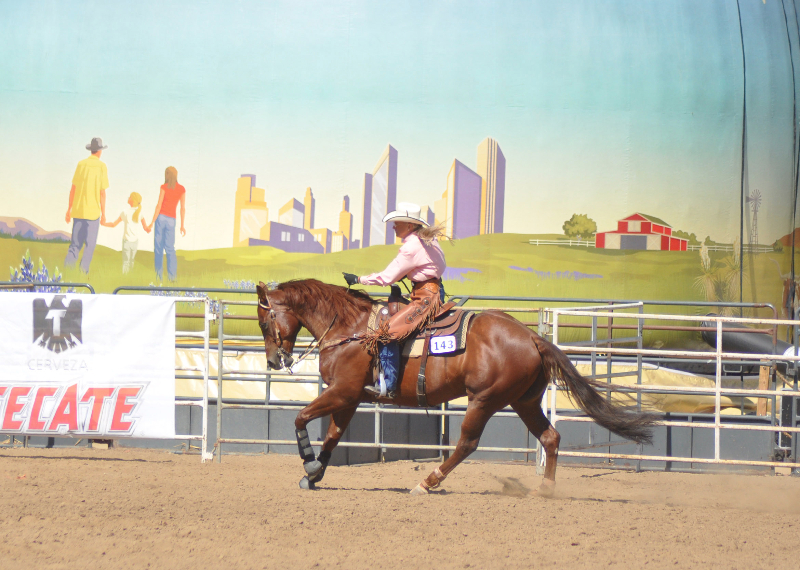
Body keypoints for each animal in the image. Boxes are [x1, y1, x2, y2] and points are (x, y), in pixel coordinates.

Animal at [255, 279, 656, 496]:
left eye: (263, 320)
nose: (274, 362)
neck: (350, 329)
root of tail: (532, 337)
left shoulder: (342, 392)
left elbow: (301, 419)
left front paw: (309, 465)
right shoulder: (350, 397)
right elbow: (334, 436)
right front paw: (315, 474)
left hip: (484, 400)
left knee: (466, 443)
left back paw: (427, 482)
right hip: (524, 402)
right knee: (550, 437)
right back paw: (544, 489)